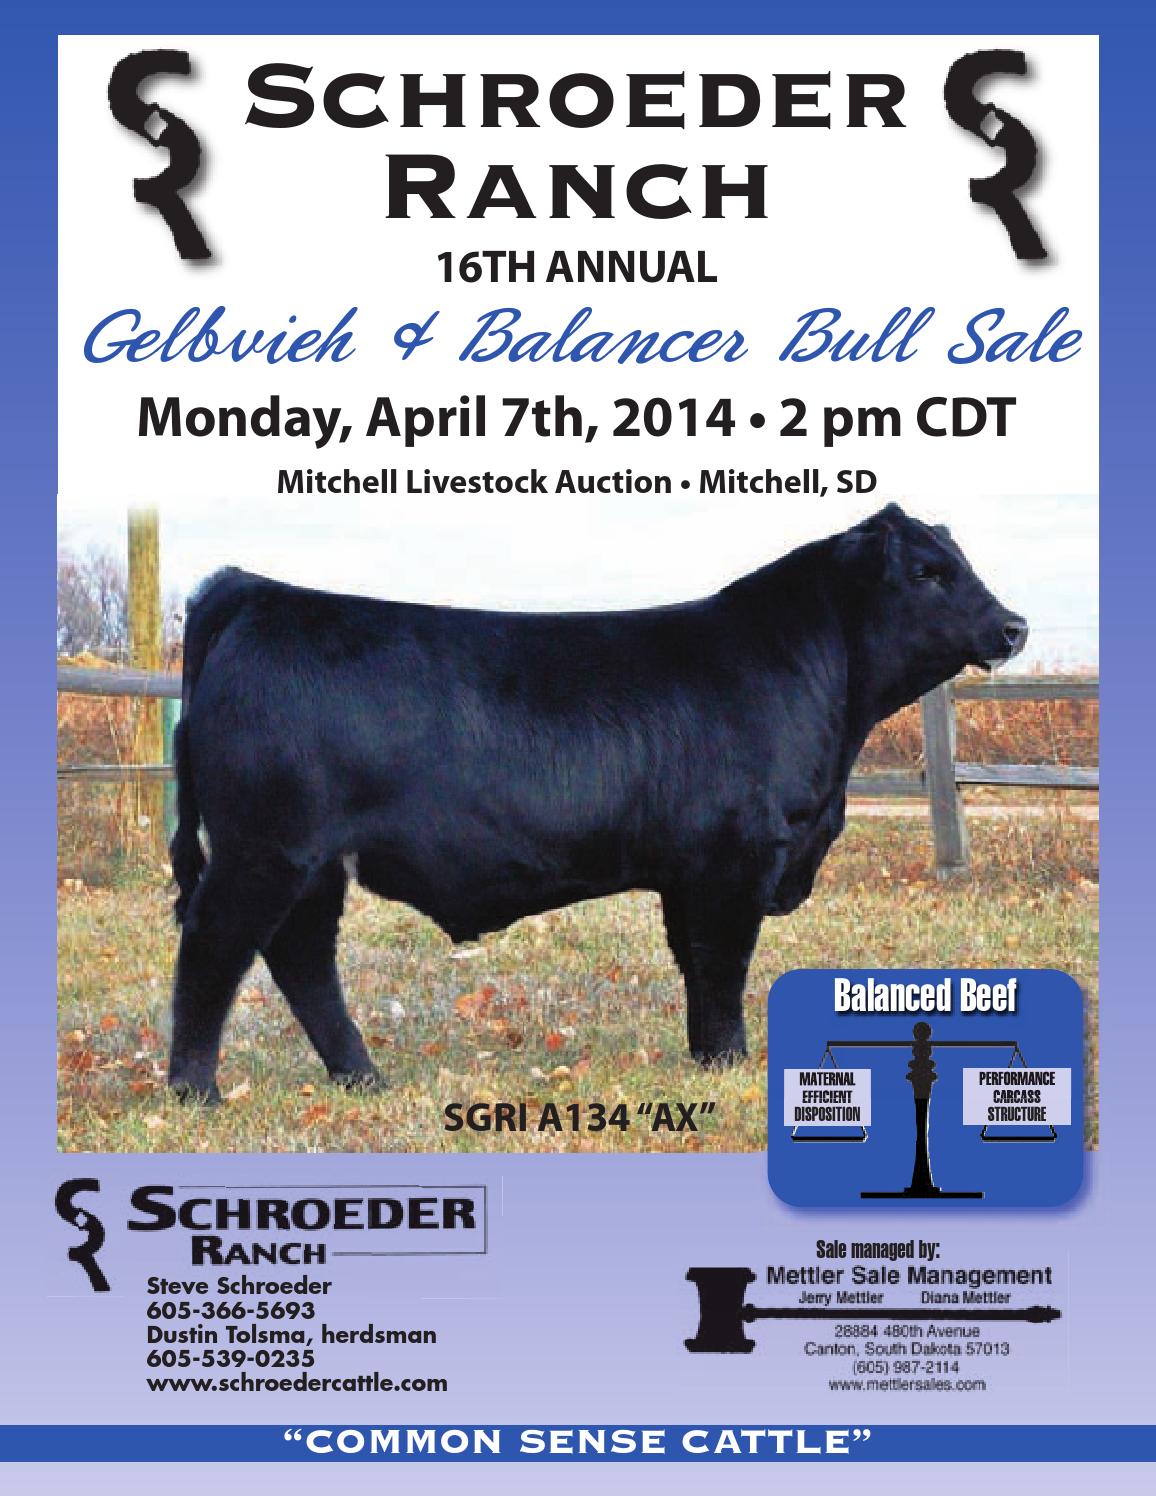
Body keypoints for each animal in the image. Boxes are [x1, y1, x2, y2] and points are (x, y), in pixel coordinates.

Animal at [166, 503, 1027, 1102]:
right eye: (927, 571)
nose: (1014, 625)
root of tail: (254, 591)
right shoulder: (737, 858)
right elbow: (723, 965)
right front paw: (730, 1064)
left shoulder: (692, 872)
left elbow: (697, 965)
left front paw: (706, 1060)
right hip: (268, 847)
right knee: (218, 944)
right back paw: (195, 1090)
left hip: (312, 862)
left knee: (300, 956)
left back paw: (362, 1078)